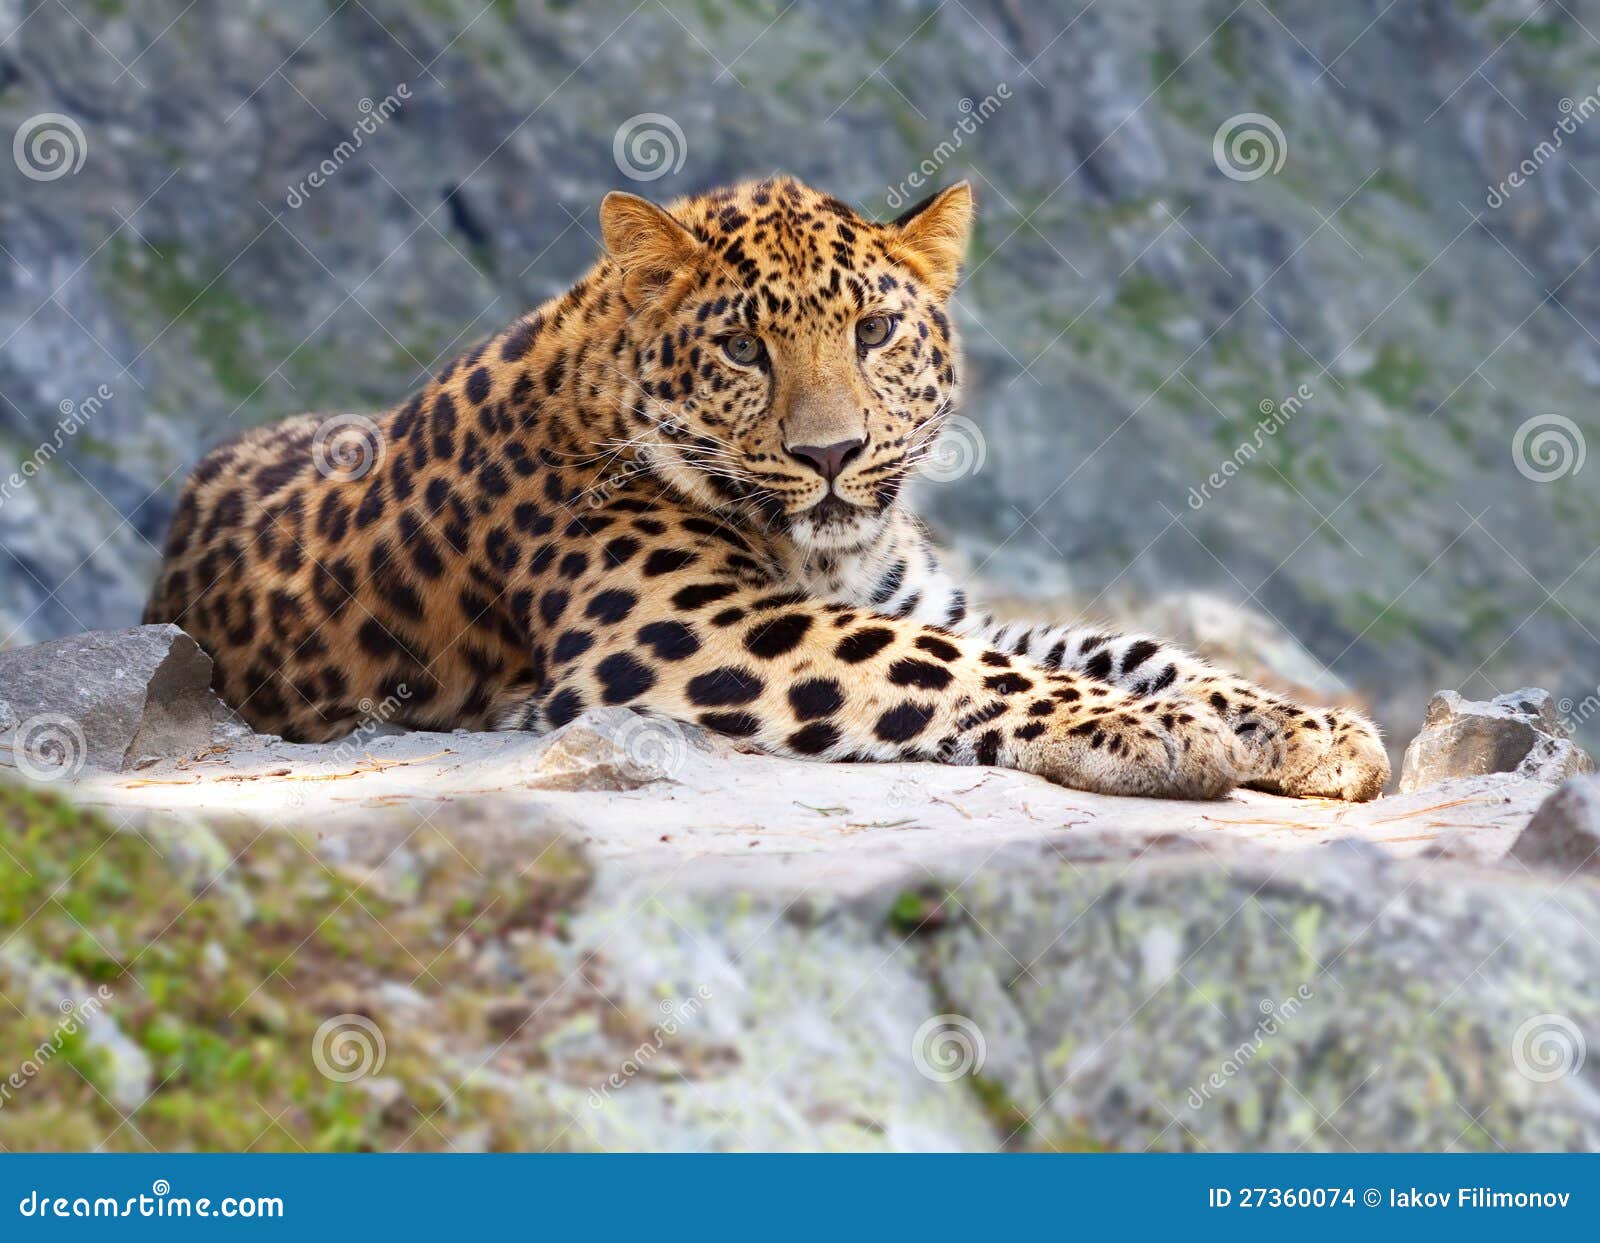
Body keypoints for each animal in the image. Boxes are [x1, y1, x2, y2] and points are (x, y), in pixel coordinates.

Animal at [145, 175, 1389, 801]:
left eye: (875, 330)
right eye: (743, 347)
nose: (832, 453)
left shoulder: (926, 599)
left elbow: (1115, 644)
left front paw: (1306, 725)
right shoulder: (679, 627)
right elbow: (946, 667)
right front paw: (1158, 732)